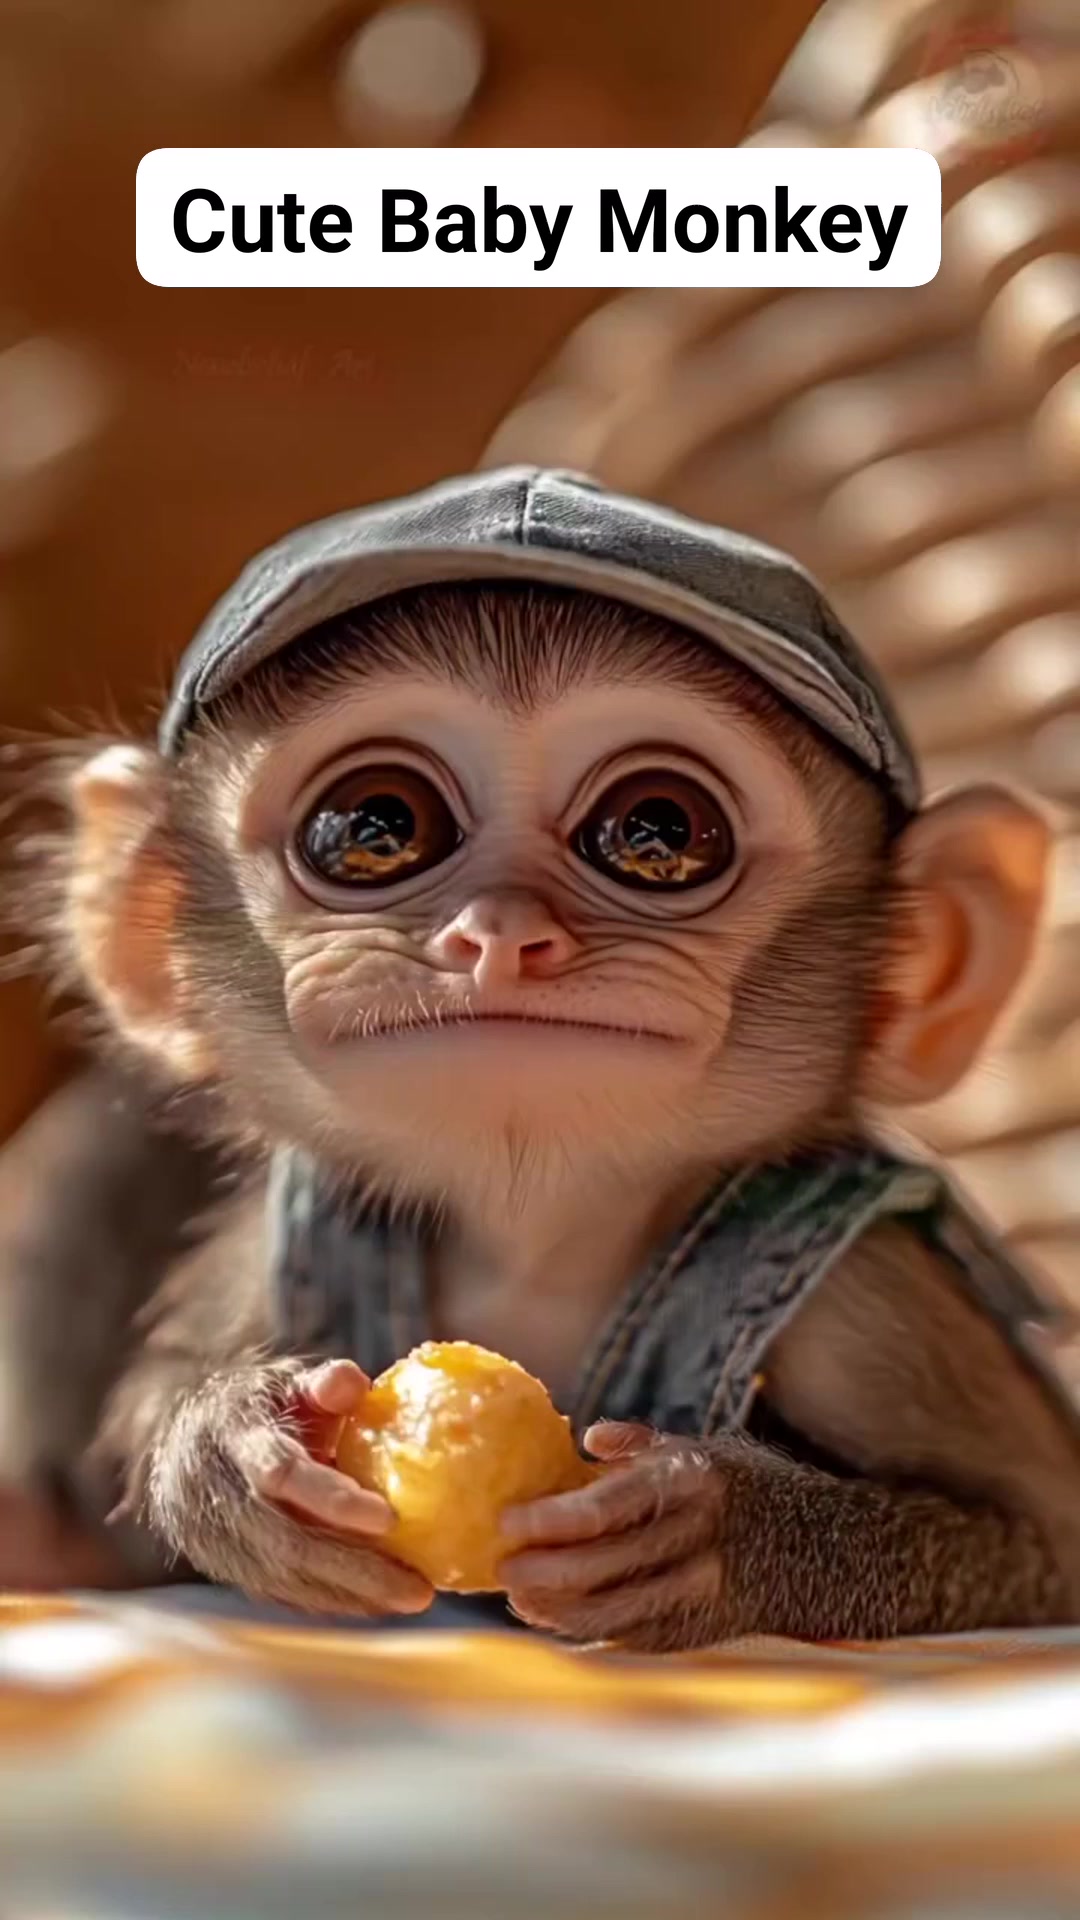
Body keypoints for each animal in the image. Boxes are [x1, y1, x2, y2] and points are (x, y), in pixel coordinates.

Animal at [20, 464, 1080, 1648]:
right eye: (375, 824)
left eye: (660, 829)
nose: (499, 936)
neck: (540, 1246)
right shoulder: (284, 1233)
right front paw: (229, 1453)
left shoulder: (875, 1289)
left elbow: (1050, 1537)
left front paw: (706, 1532)